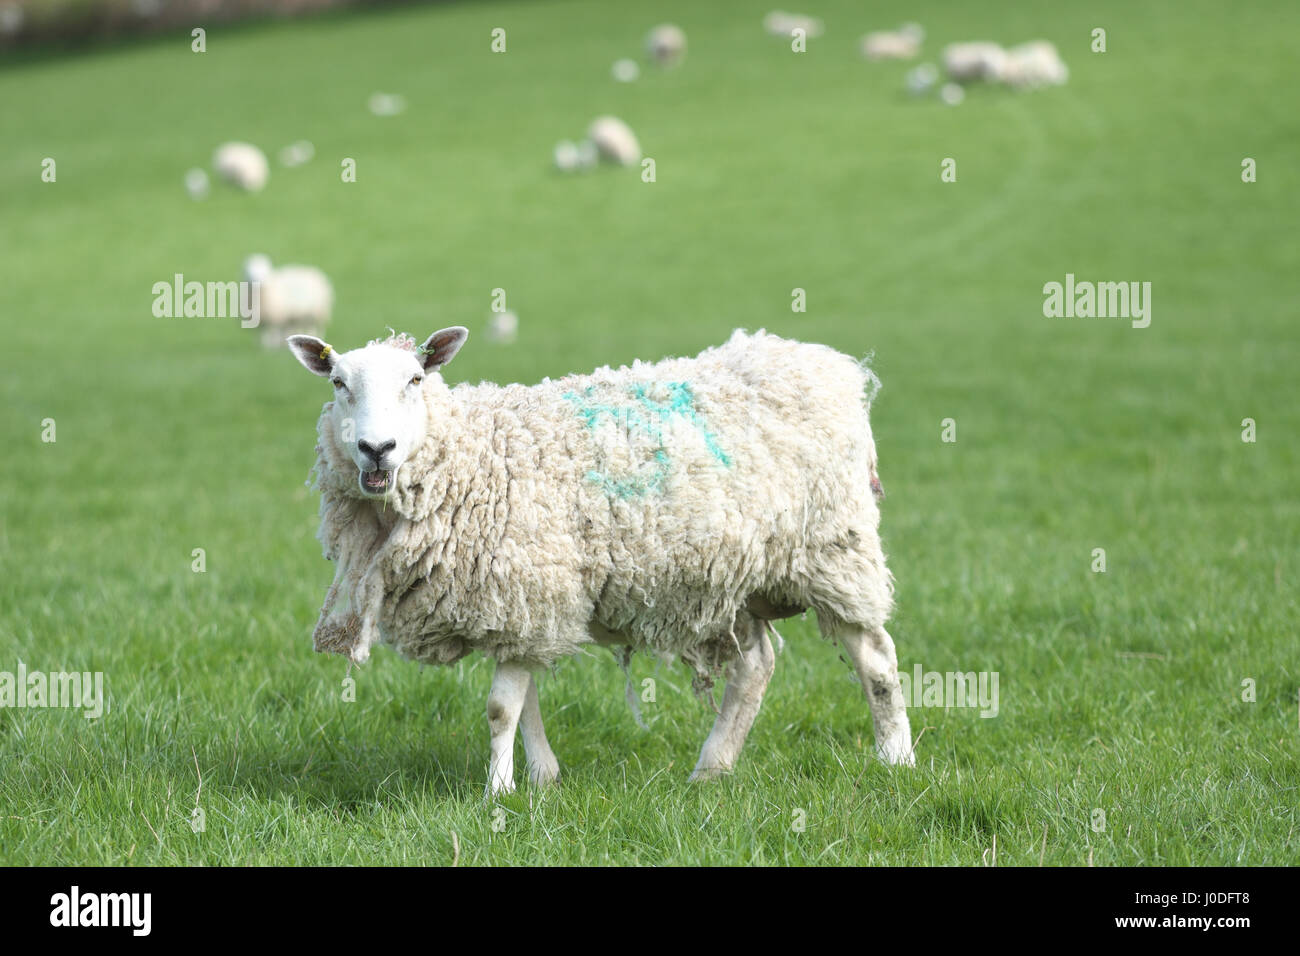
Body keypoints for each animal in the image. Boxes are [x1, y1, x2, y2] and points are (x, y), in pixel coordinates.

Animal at [286, 328, 915, 794]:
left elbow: (500, 708)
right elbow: (526, 700)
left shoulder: (528, 591)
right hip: (734, 578)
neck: (473, 455)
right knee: (754, 668)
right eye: (338, 383)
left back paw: (896, 759)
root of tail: (827, 365)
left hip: (835, 549)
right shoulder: (525, 605)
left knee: (876, 660)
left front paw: (498, 793)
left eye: (416, 379)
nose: (376, 449)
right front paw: (542, 778)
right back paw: (710, 771)